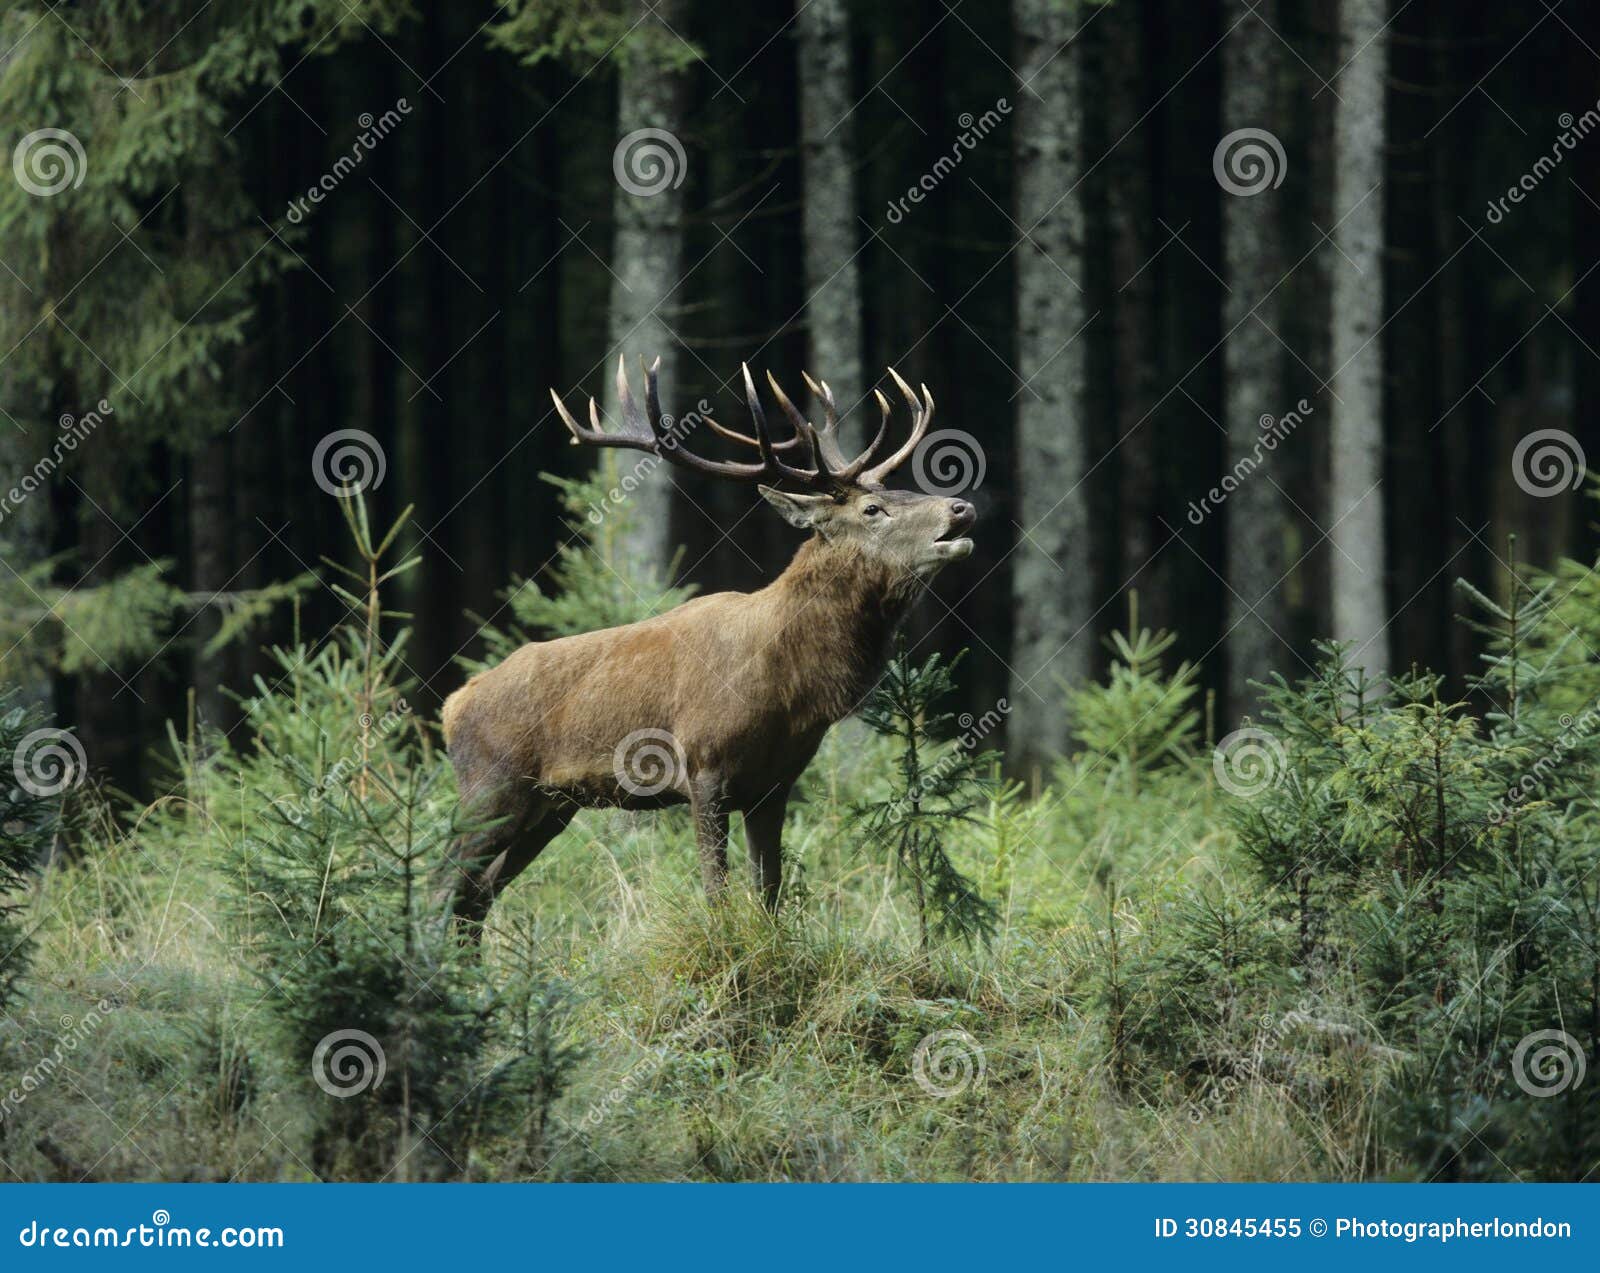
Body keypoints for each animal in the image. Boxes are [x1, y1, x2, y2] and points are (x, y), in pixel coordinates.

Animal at [437, 356, 977, 931]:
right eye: (873, 509)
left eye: (907, 492)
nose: (961, 509)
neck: (789, 690)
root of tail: (453, 704)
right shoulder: (704, 765)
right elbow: (717, 891)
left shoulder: (774, 786)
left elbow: (769, 894)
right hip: (491, 784)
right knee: (444, 882)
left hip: (550, 806)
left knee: (477, 894)